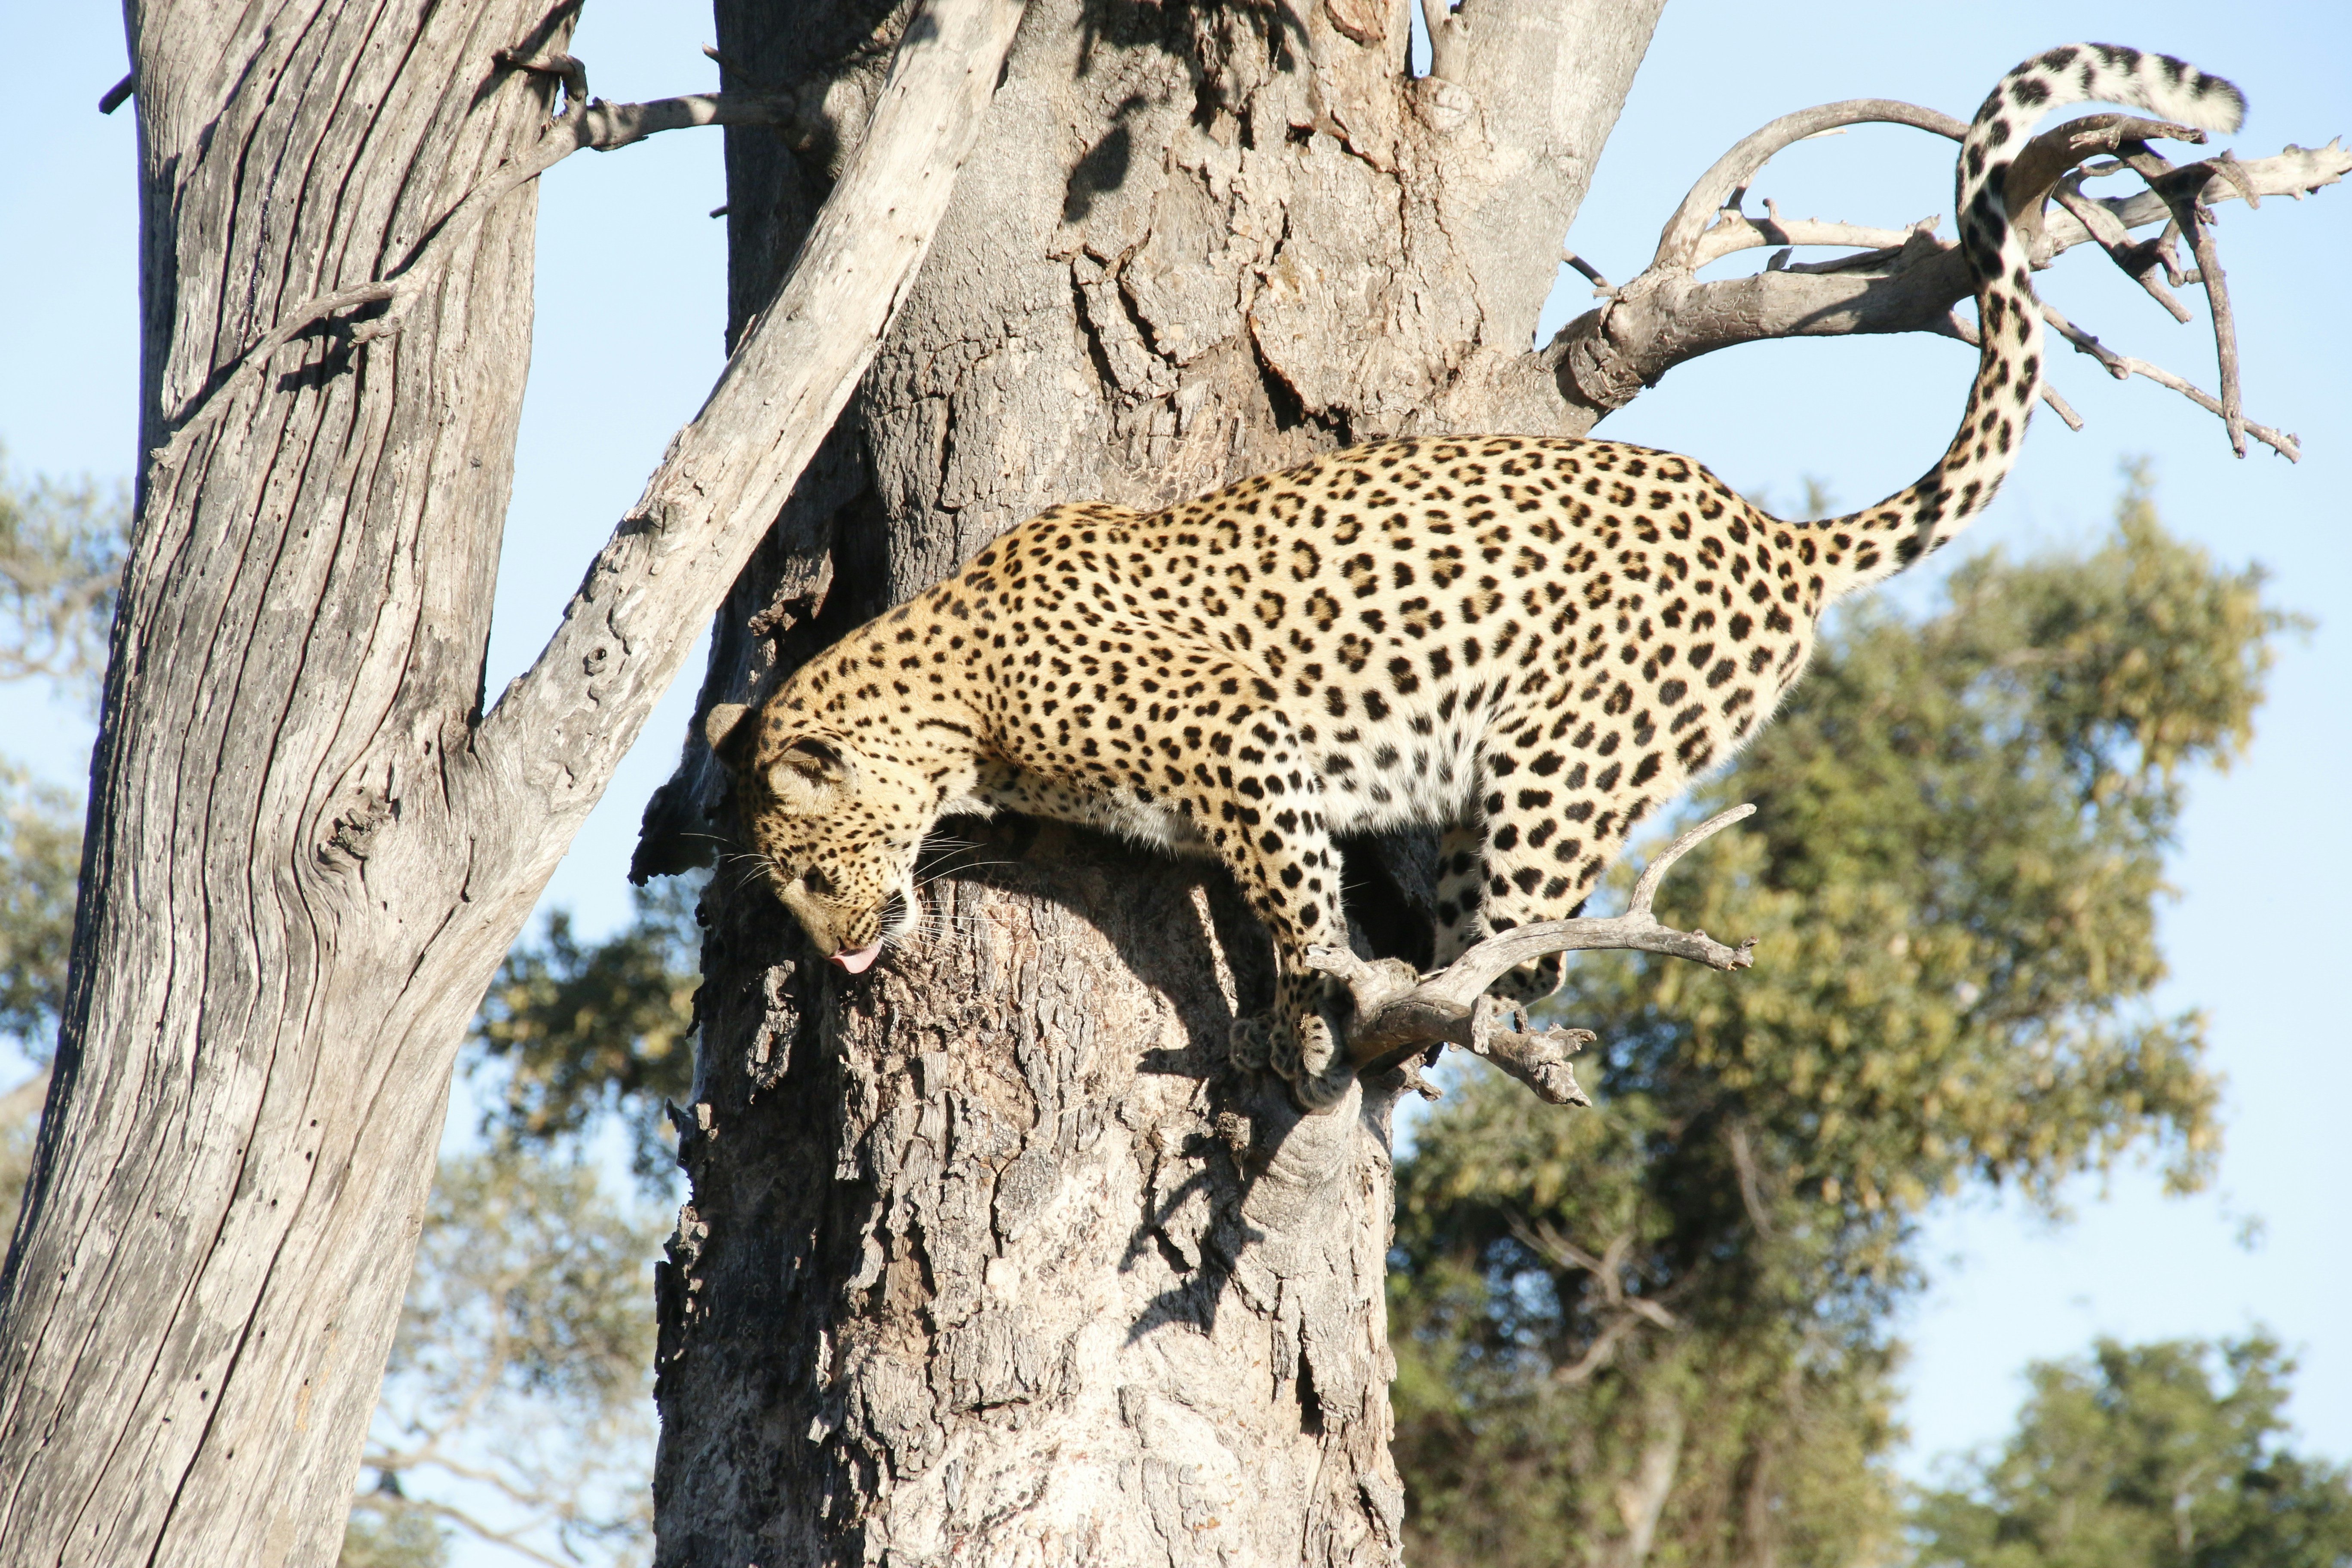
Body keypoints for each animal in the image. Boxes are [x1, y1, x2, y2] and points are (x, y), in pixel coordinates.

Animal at [705, 45, 2246, 1111]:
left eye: (816, 871)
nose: (838, 956)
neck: (955, 697)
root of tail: (1773, 532)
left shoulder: (1243, 737)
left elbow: (1293, 895)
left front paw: (1297, 1010)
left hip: (1556, 762)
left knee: (1527, 954)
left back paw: (1434, 1023)